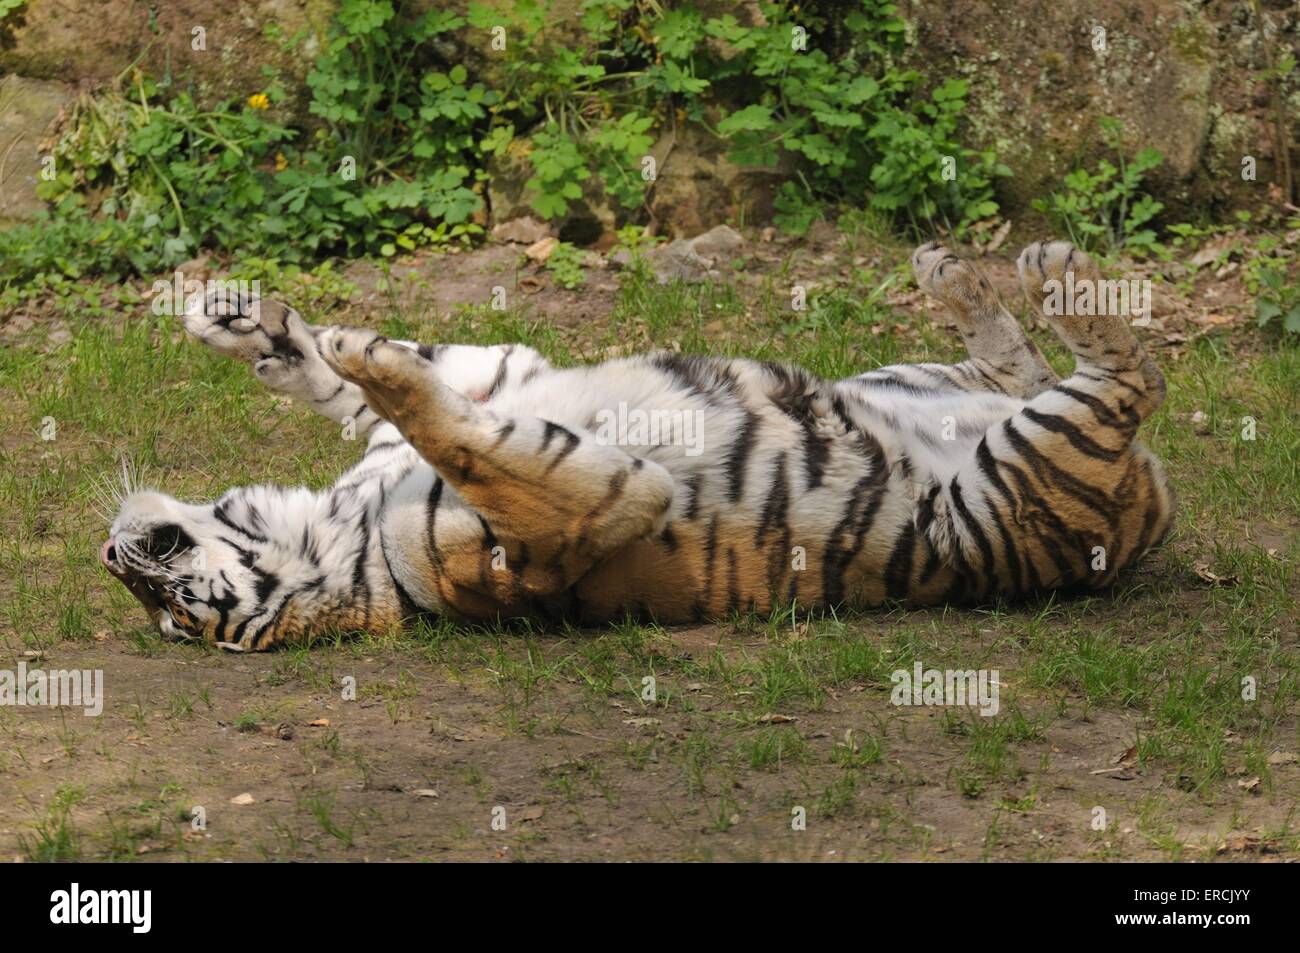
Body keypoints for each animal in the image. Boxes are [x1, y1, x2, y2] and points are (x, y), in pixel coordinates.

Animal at [102, 240, 1175, 651]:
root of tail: (1155, 516)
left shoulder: (495, 369)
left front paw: (250, 322)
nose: (112, 552)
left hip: (931, 383)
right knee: (1130, 380)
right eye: (174, 612)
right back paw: (1047, 269)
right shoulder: (598, 498)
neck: (339, 526)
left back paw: (967, 270)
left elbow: (368, 380)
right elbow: (457, 434)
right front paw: (358, 354)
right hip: (1018, 477)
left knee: (1025, 364)